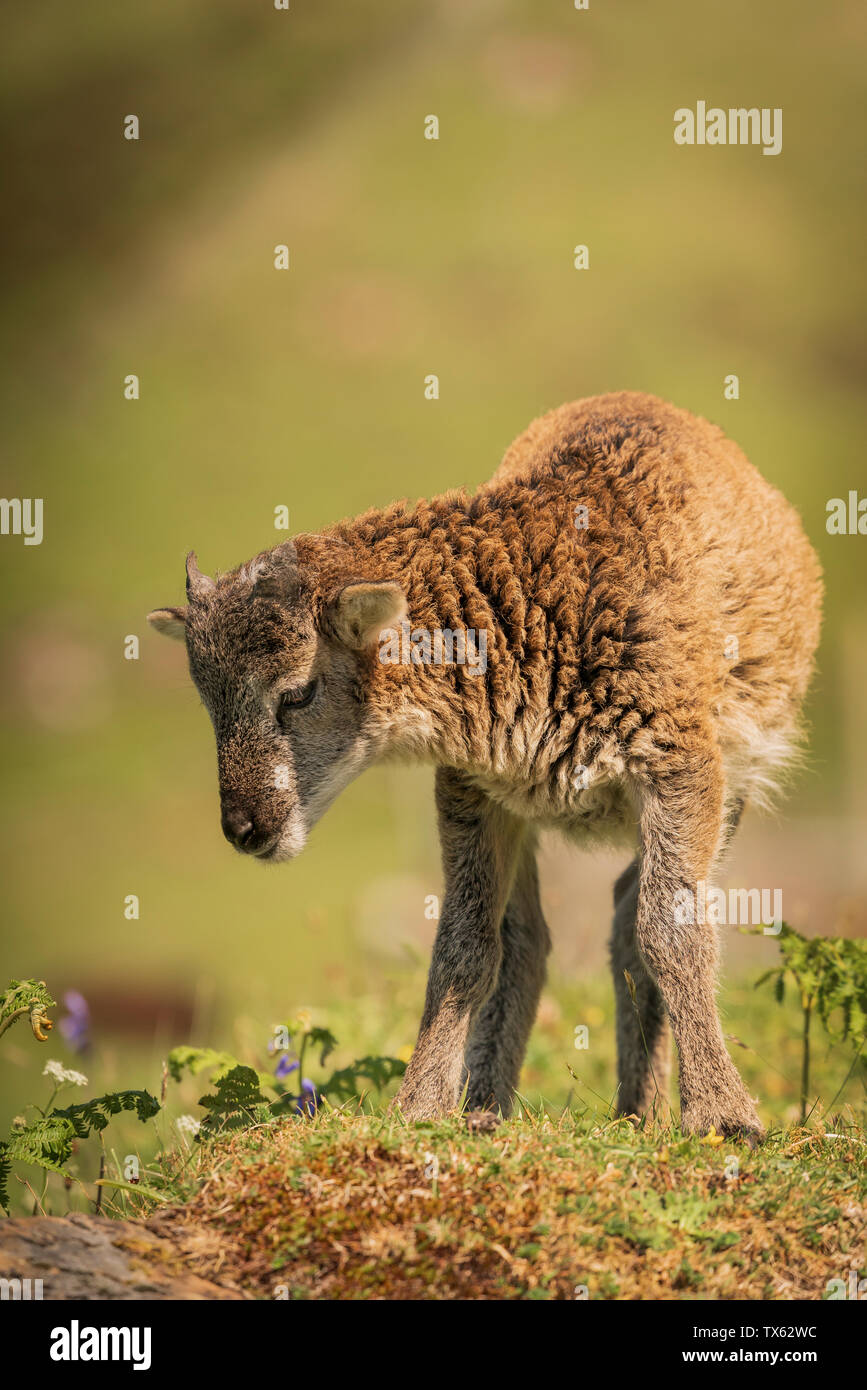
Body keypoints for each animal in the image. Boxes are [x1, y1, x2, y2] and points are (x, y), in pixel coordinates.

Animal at [148, 391, 823, 1140]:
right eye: (208, 701)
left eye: (296, 693)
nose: (246, 828)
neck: (531, 608)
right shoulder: (475, 791)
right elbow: (467, 946)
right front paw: (421, 1106)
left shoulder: (683, 768)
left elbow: (669, 932)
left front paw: (724, 1118)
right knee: (532, 938)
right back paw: (496, 1107)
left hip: (735, 790)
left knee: (630, 917)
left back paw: (634, 1111)